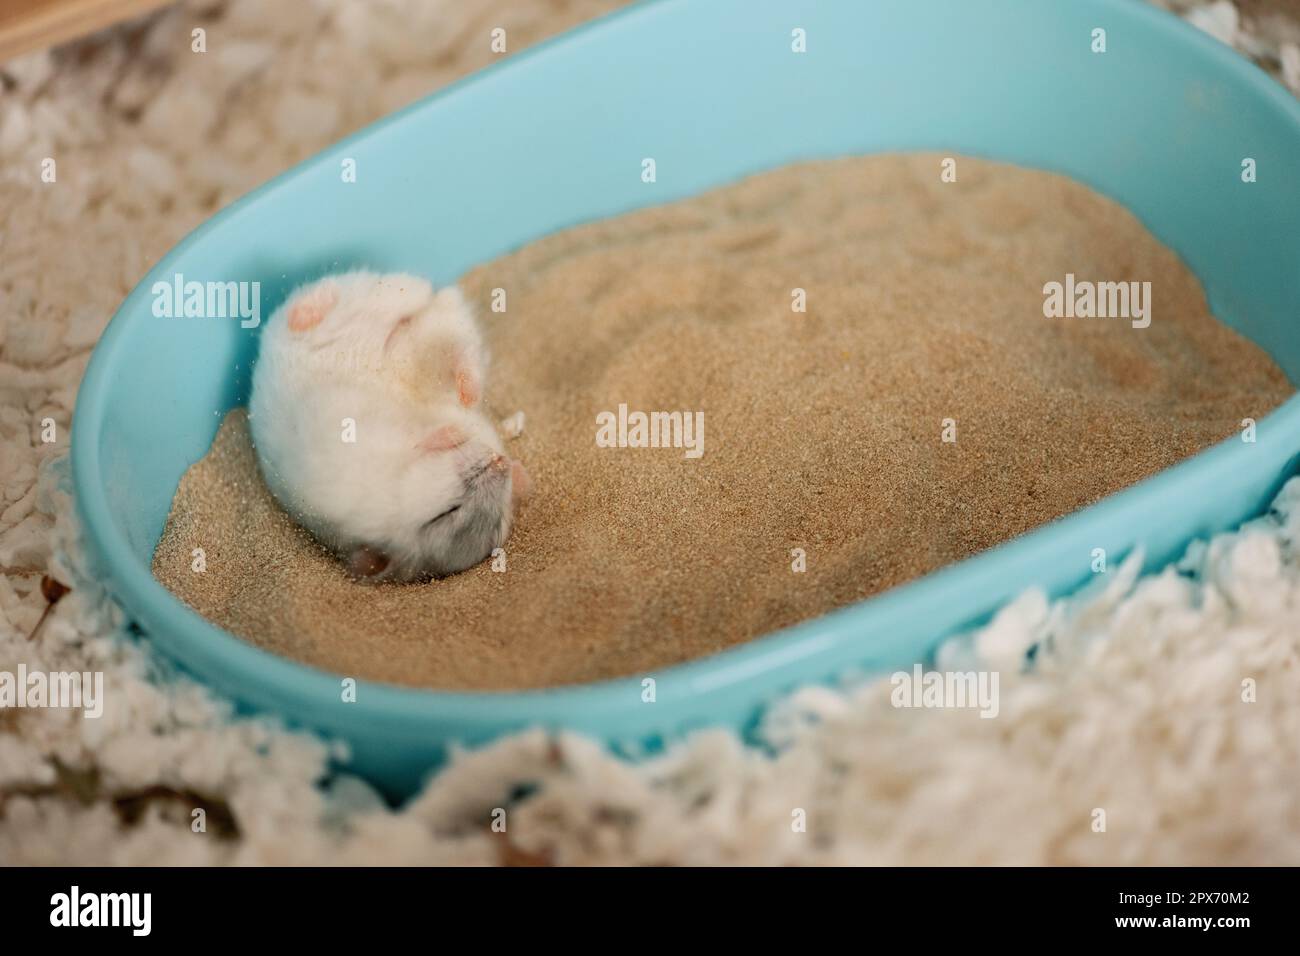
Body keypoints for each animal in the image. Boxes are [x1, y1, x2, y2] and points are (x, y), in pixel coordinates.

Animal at [248, 270, 530, 582]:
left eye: (499, 521)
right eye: (445, 514)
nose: (499, 460)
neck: (397, 480)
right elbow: (423, 438)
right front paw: (455, 434)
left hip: (428, 333)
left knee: (460, 351)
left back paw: (468, 394)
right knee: (314, 305)